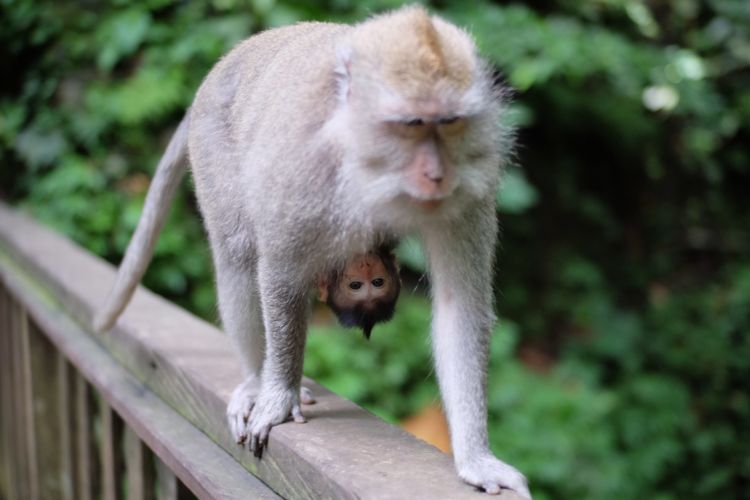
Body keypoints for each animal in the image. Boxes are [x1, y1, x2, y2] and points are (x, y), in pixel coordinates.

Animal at [91, 5, 532, 498]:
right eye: (413, 124)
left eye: (451, 122)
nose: (437, 174)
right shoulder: (301, 170)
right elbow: (281, 274)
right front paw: (279, 393)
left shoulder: (469, 192)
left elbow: (461, 309)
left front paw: (476, 458)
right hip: (210, 144)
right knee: (238, 254)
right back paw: (256, 381)